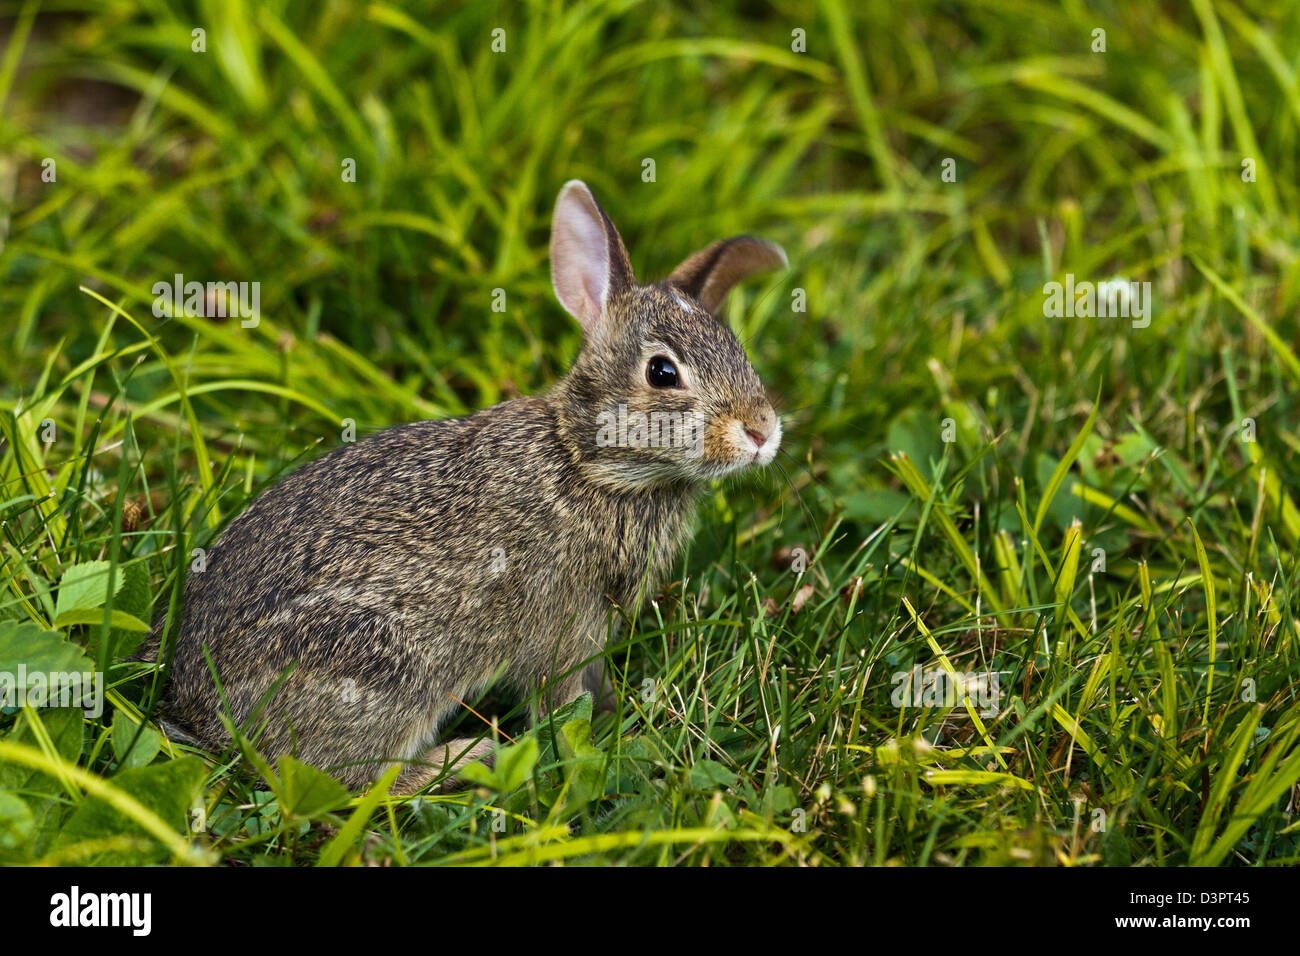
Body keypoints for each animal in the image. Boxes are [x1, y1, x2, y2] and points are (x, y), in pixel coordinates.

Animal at [148, 180, 787, 793]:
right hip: (382, 669)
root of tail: (202, 709)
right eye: (662, 373)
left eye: (740, 351)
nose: (761, 430)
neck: (586, 463)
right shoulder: (563, 628)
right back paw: (467, 755)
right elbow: (560, 700)